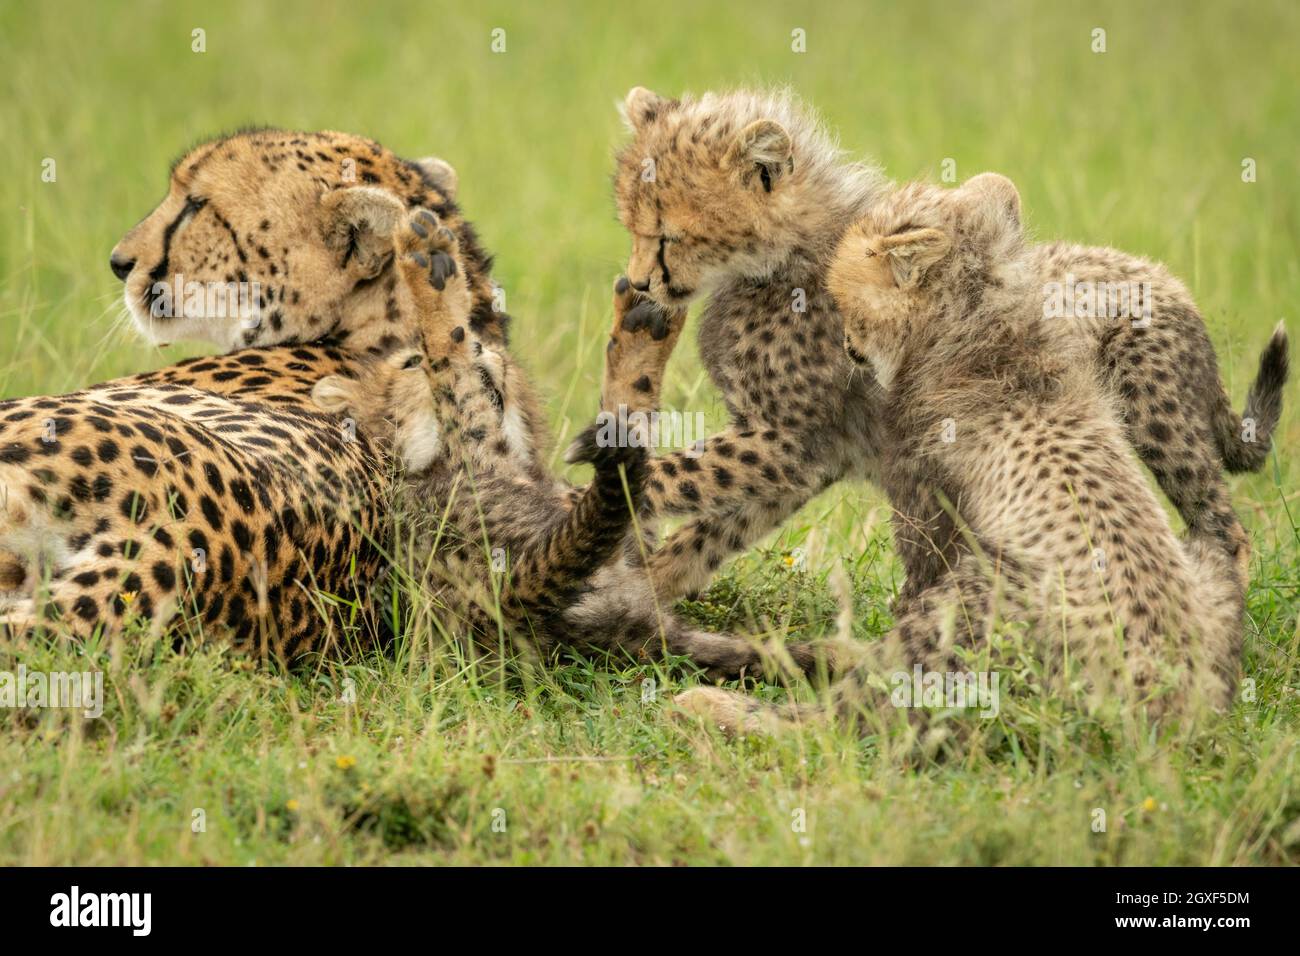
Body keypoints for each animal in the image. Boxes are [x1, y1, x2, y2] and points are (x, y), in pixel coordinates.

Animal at [610, 86, 1288, 611]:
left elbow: (677, 474)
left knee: (1225, 530)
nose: (639, 282)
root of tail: (1168, 279)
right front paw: (643, 591)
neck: (777, 260)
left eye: (668, 235)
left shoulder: (788, 438)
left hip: (1154, 412)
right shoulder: (800, 456)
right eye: (632, 226)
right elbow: (713, 528)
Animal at [676, 173, 1244, 734]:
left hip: (981, 599)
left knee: (843, 720)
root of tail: (1170, 702)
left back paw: (709, 702)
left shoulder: (928, 522)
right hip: (1206, 568)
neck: (986, 333)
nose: (842, 340)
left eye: (842, 293)